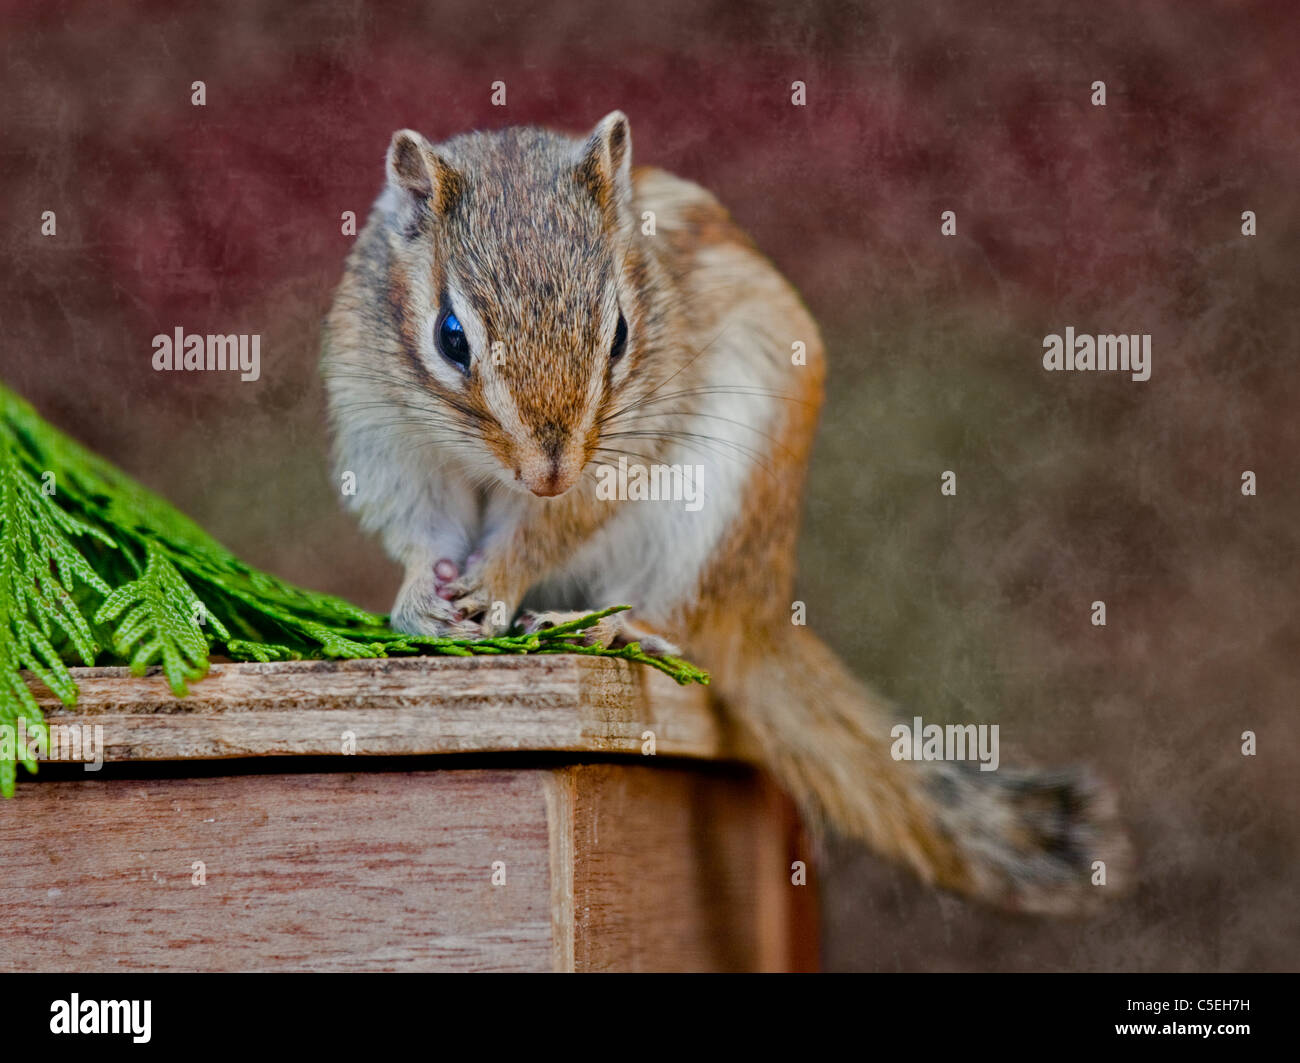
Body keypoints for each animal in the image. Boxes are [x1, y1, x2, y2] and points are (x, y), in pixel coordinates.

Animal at [321, 112, 1130, 915]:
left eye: (621, 333)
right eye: (450, 337)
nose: (548, 473)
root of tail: (762, 611)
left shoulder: (619, 452)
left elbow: (556, 526)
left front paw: (496, 580)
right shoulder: (389, 439)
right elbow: (426, 530)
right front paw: (422, 599)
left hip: (713, 515)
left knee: (680, 618)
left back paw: (609, 625)